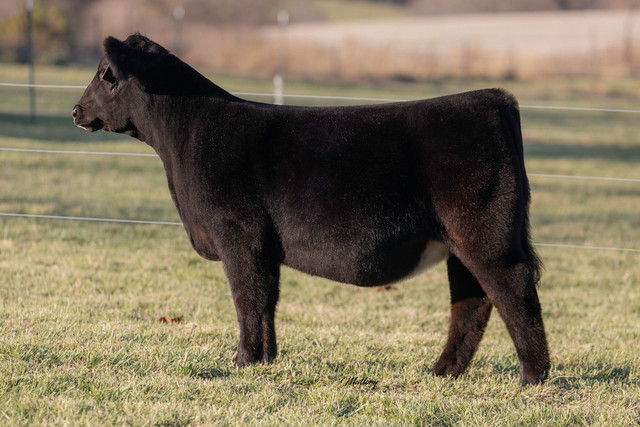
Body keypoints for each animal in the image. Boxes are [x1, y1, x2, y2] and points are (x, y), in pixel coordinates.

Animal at [73, 34, 550, 385]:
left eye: (106, 75)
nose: (77, 111)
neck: (184, 141)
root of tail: (493, 98)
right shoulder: (264, 246)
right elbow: (266, 301)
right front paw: (265, 360)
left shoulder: (238, 235)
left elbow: (246, 297)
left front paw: (243, 361)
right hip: (460, 243)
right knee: (472, 302)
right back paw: (442, 372)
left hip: (487, 237)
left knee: (514, 293)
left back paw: (533, 377)